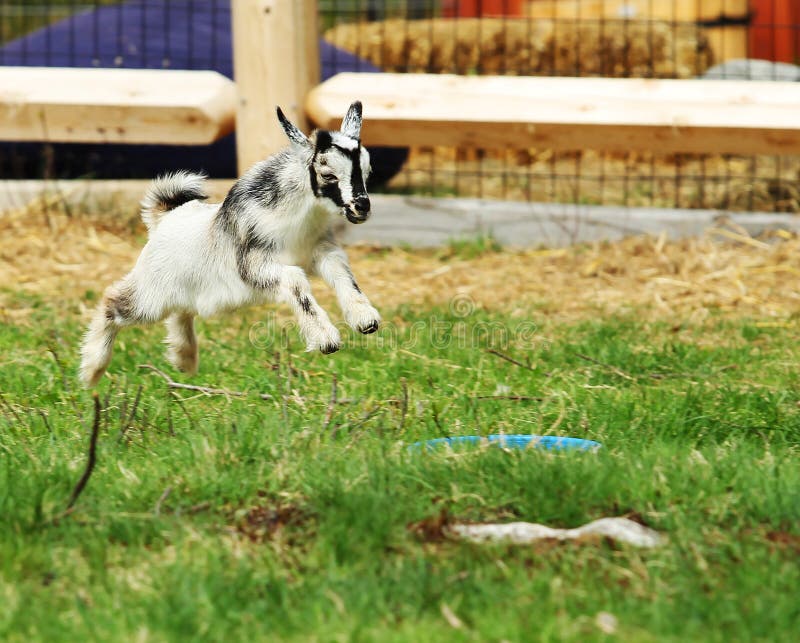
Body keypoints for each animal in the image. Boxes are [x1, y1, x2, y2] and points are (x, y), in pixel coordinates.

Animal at [79, 101, 381, 387]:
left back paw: (184, 360)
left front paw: (365, 319)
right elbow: (296, 281)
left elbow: (341, 271)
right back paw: (92, 371)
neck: (297, 222)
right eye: (328, 175)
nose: (362, 207)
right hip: (151, 295)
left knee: (180, 313)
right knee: (112, 302)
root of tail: (163, 218)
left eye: (367, 171)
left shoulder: (320, 249)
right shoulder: (254, 263)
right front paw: (326, 340)